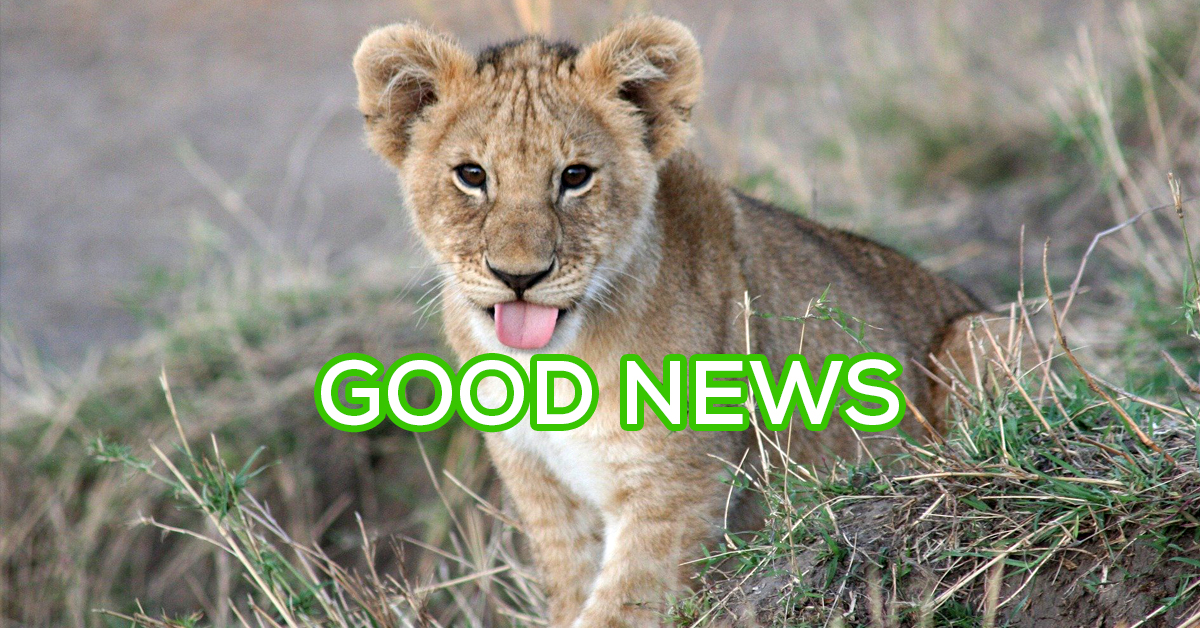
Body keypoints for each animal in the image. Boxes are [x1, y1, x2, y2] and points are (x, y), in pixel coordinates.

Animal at [353, 16, 982, 628]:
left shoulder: (681, 492)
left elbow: (618, 610)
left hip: (969, 338)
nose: (519, 276)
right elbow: (571, 594)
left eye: (575, 176)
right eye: (472, 175)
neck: (550, 371)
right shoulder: (544, 492)